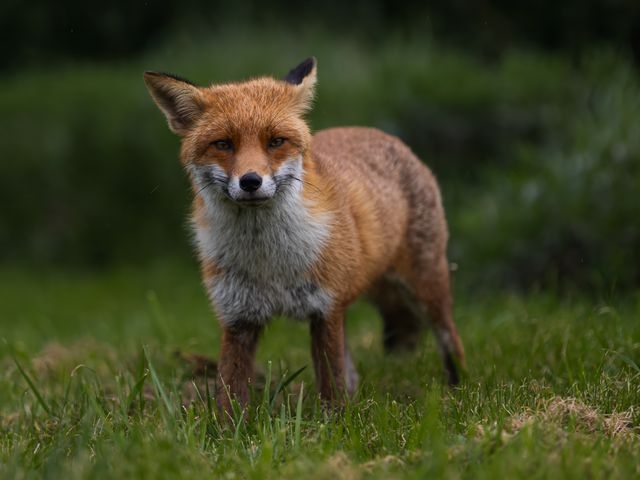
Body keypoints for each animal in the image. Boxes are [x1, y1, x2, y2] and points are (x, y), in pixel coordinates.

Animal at [143, 57, 465, 413]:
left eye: (276, 141)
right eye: (223, 144)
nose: (251, 181)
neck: (267, 261)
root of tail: (378, 133)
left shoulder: (325, 308)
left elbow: (331, 384)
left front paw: (335, 422)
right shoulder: (237, 317)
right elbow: (230, 391)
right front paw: (229, 426)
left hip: (425, 286)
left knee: (450, 337)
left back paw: (458, 389)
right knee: (353, 368)